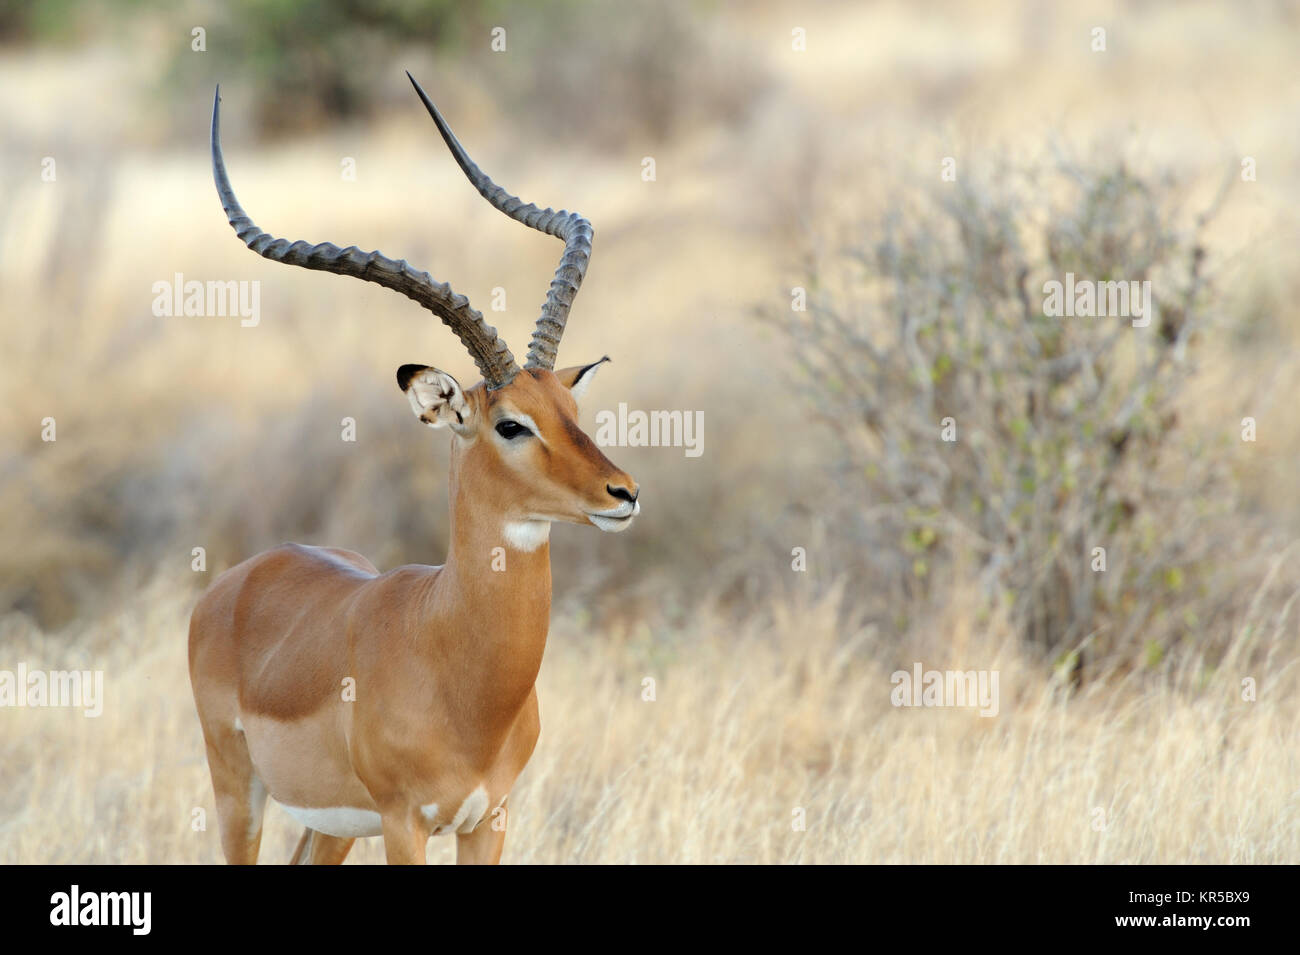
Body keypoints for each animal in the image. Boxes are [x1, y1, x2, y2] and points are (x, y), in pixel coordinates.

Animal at [189, 75, 639, 865]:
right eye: (511, 423)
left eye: (572, 409)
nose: (624, 493)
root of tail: (236, 580)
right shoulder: (406, 822)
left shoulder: (490, 817)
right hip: (238, 790)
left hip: (328, 825)